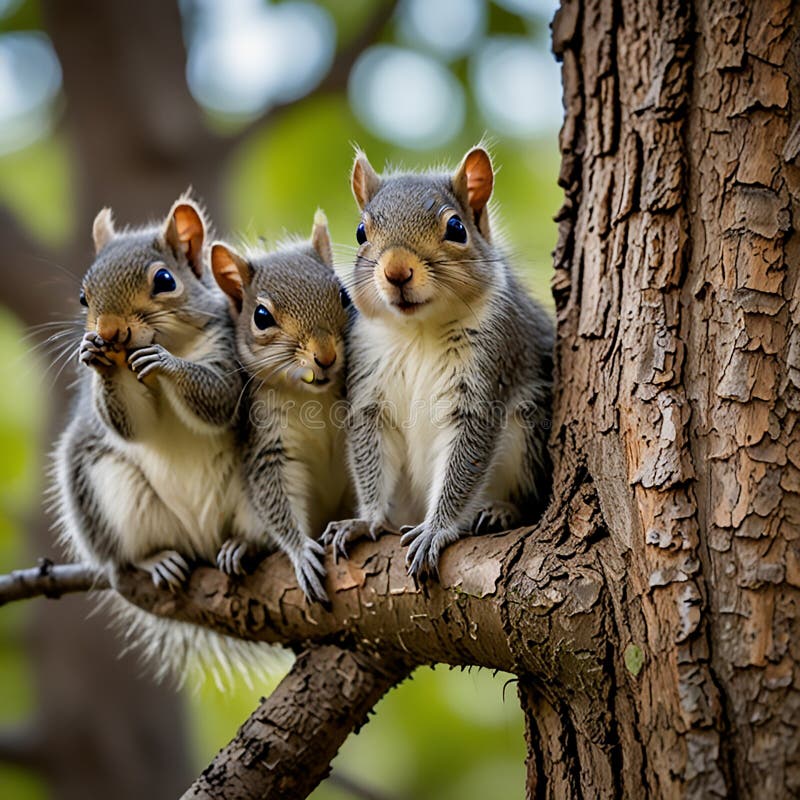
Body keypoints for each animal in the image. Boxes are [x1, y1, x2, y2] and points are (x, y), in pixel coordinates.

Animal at [52, 197, 265, 684]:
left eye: (164, 281)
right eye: (83, 297)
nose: (109, 332)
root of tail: (203, 540)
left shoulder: (226, 351)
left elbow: (218, 398)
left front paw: (165, 362)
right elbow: (133, 426)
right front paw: (98, 359)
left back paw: (243, 546)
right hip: (108, 488)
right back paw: (158, 559)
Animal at [210, 210, 353, 604]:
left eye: (343, 294)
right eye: (261, 316)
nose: (325, 357)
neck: (311, 397)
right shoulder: (267, 442)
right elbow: (275, 497)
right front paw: (301, 551)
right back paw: (241, 547)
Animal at [322, 147, 554, 579]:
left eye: (457, 228)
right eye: (361, 232)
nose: (396, 271)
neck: (419, 330)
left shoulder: (487, 372)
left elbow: (465, 464)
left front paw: (435, 530)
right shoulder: (370, 388)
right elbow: (370, 458)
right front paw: (367, 519)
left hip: (530, 431)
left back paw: (502, 510)